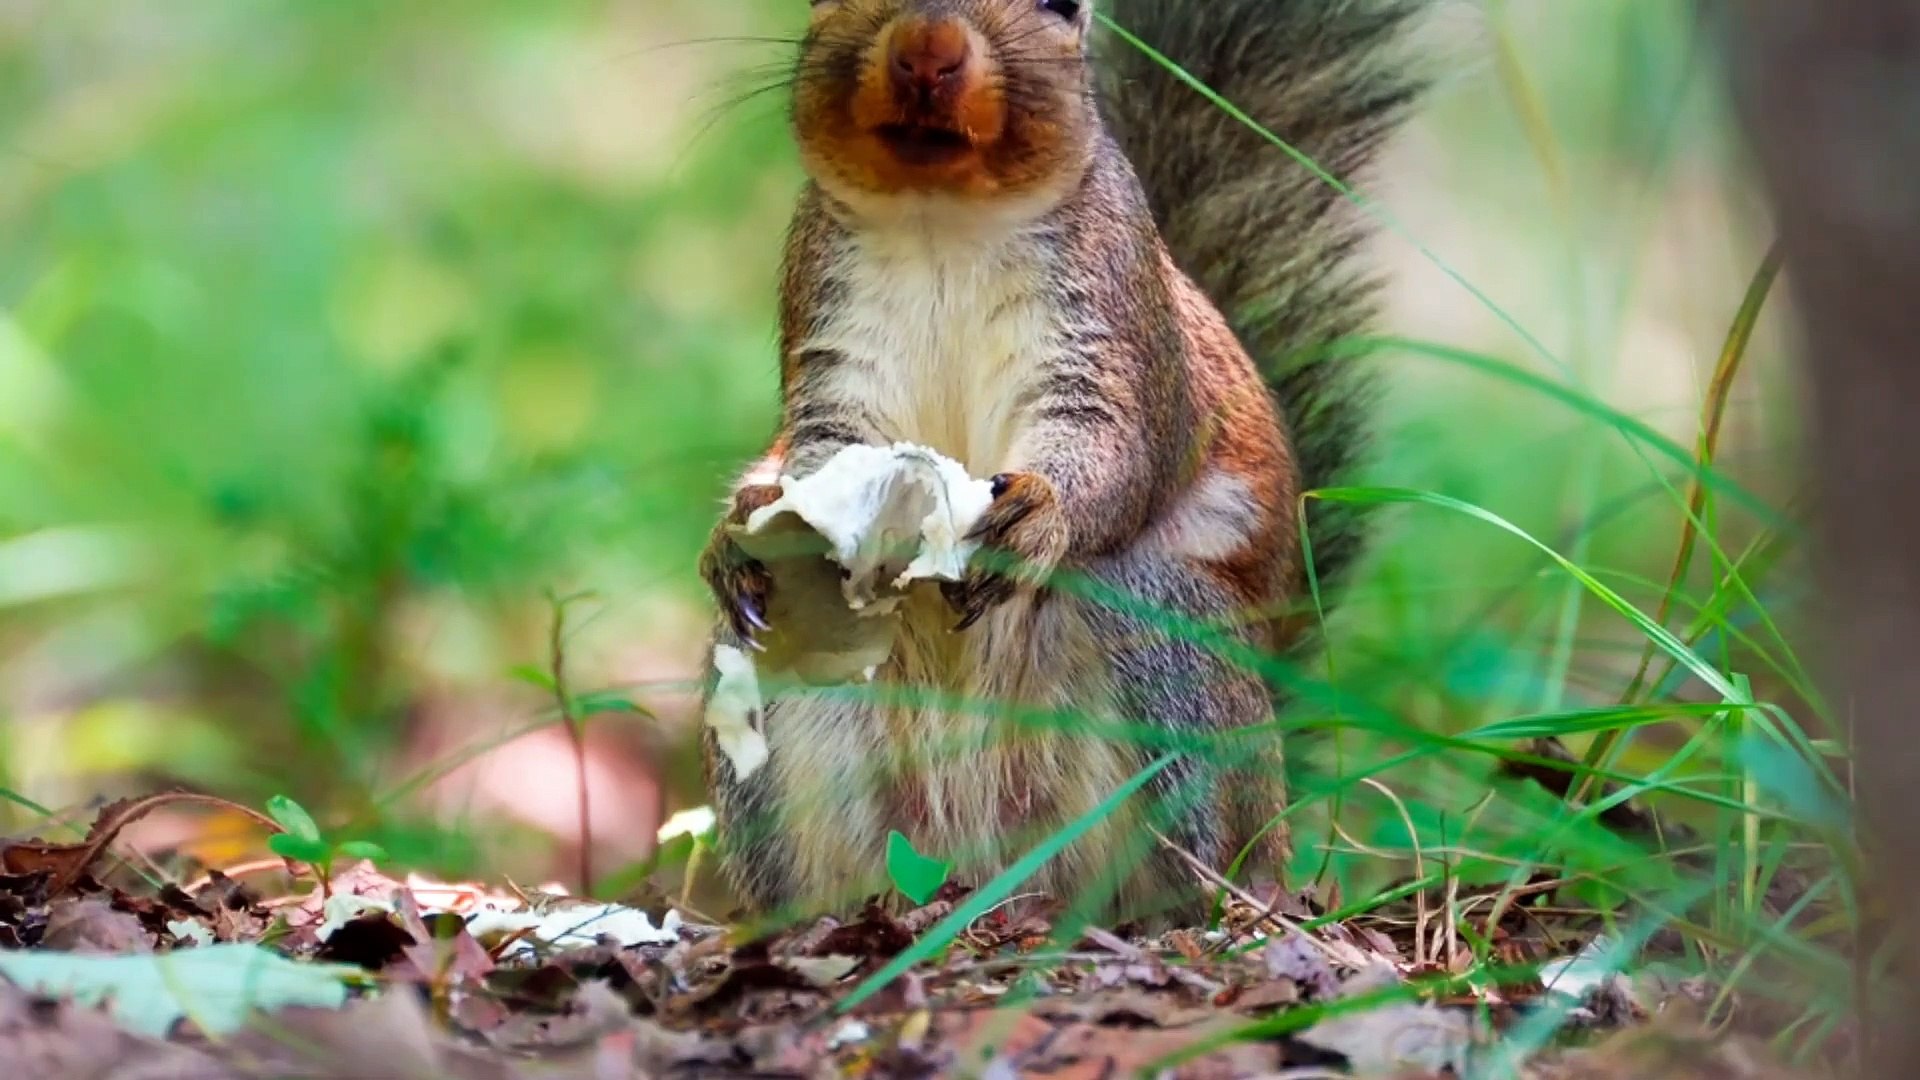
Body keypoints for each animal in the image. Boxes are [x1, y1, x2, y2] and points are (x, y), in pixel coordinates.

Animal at [698, 0, 1423, 923]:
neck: (943, 219)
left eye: (1063, 6)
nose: (928, 52)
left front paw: (1038, 512)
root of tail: (985, 867)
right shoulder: (830, 329)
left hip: (1168, 645)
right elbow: (822, 450)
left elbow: (1115, 445)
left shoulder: (1117, 317)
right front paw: (746, 526)